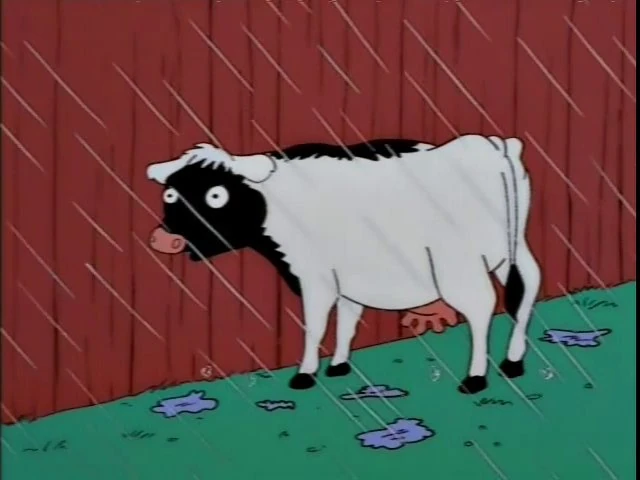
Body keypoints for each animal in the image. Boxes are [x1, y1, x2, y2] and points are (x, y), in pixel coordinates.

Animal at [146, 134, 541, 395]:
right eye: (171, 193)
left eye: (216, 195)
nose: (164, 240)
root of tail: (493, 146)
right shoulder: (348, 277)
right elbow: (347, 321)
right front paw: (338, 365)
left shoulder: (314, 277)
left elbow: (316, 325)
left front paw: (305, 373)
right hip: (512, 250)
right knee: (527, 290)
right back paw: (513, 362)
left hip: (457, 263)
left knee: (481, 306)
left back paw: (476, 377)